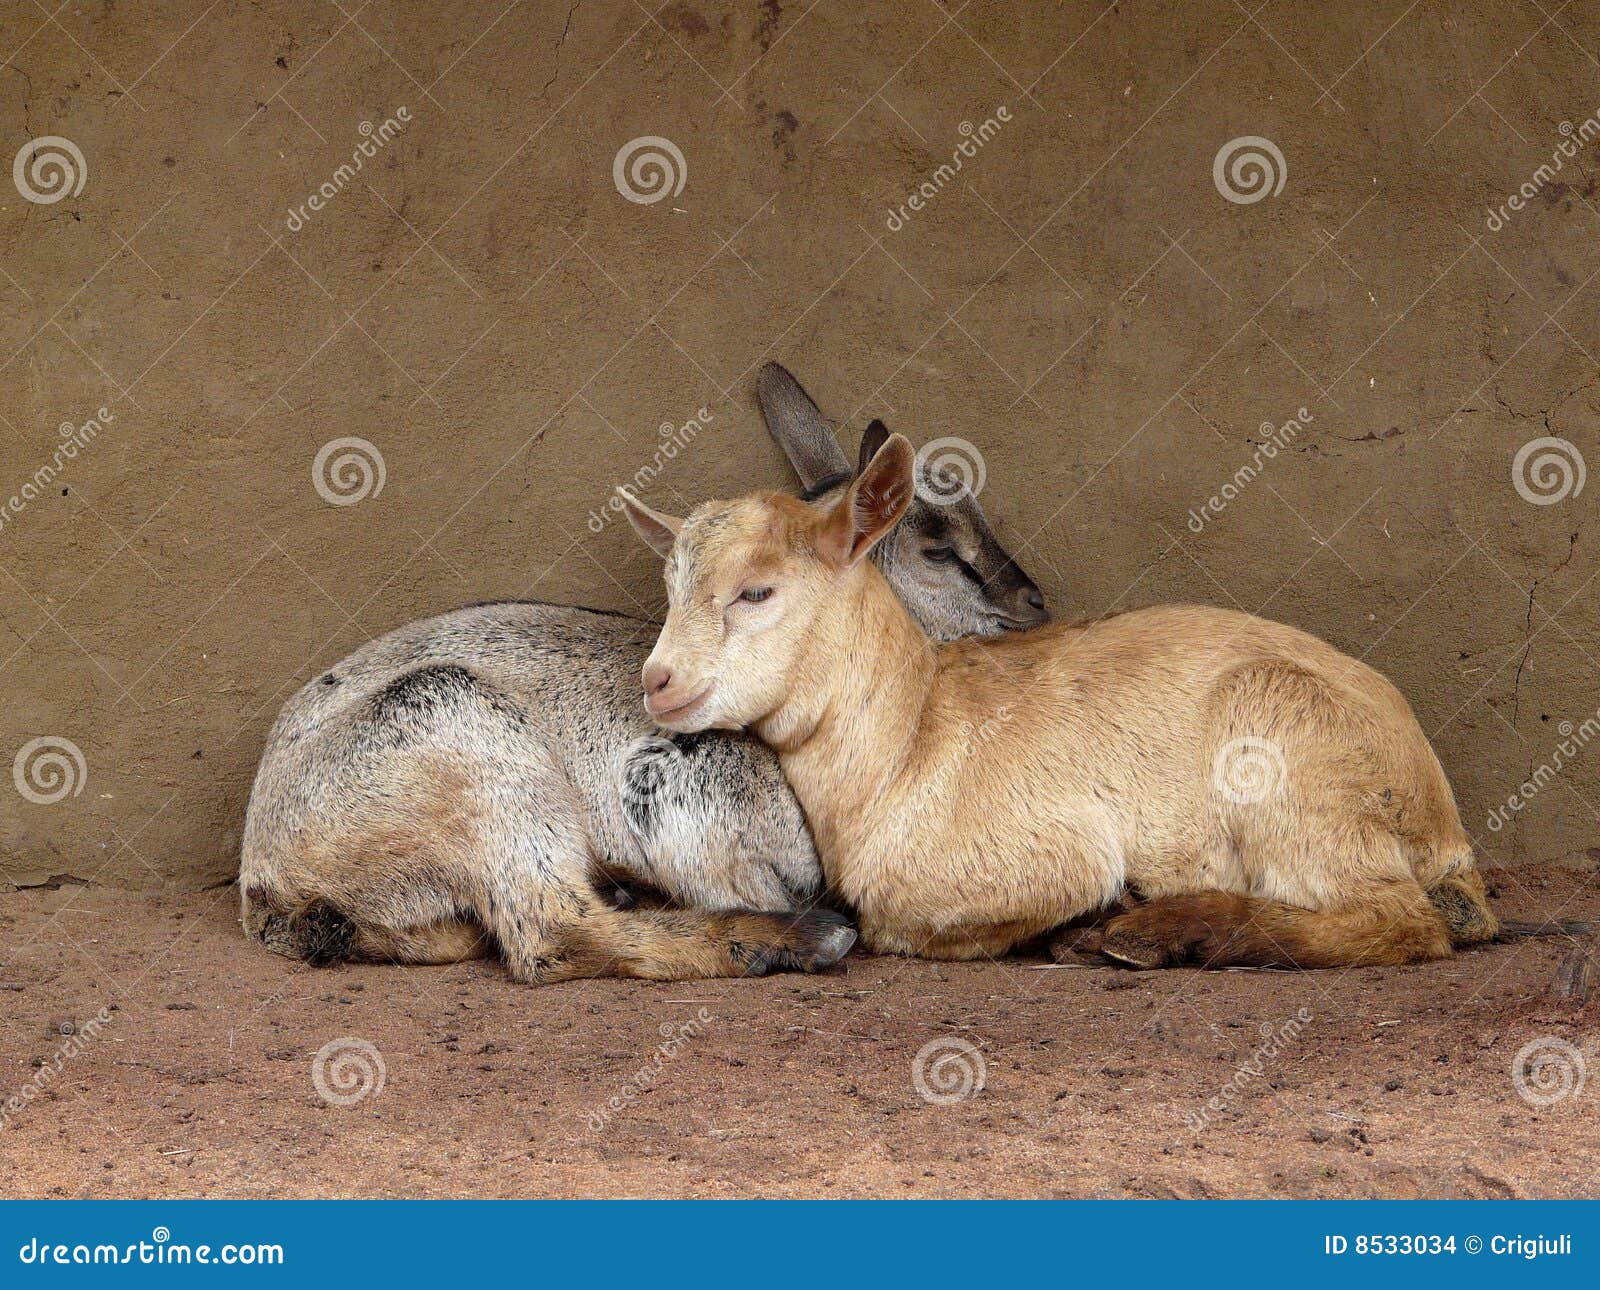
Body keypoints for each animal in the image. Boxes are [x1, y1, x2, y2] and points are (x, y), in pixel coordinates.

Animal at [239, 367, 1046, 984]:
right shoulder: (692, 808)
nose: (1034, 603)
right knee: (550, 935)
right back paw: (792, 940)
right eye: (938, 549)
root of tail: (266, 875)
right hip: (461, 732)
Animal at [621, 432, 1504, 970]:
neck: (907, 736)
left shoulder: (1032, 856)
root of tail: (1442, 823)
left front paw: (1097, 915)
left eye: (757, 591)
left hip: (1290, 742)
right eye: (668, 589)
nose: (656, 680)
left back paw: (1156, 930)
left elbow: (911, 925)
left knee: (1398, 920)